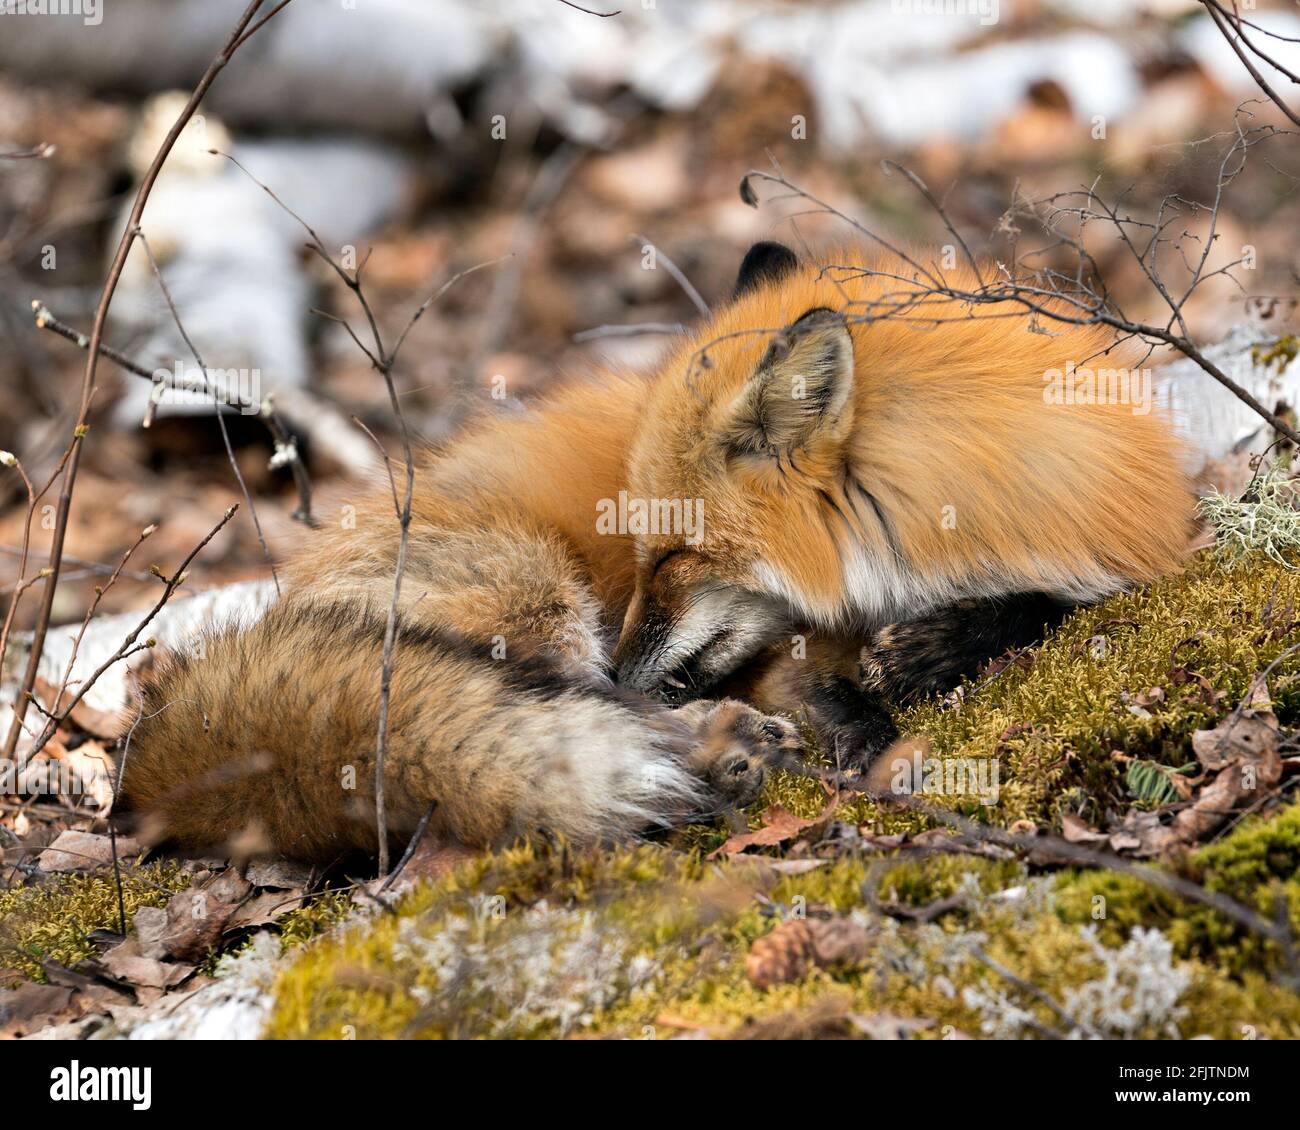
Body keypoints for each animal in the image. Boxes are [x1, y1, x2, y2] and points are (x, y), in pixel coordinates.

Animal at [119, 241, 1193, 862]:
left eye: (671, 558)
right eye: (636, 554)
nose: (628, 659)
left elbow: (1058, 603)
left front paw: (942, 647)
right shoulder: (782, 653)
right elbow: (829, 690)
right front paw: (873, 739)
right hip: (537, 605)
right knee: (566, 713)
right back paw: (715, 749)